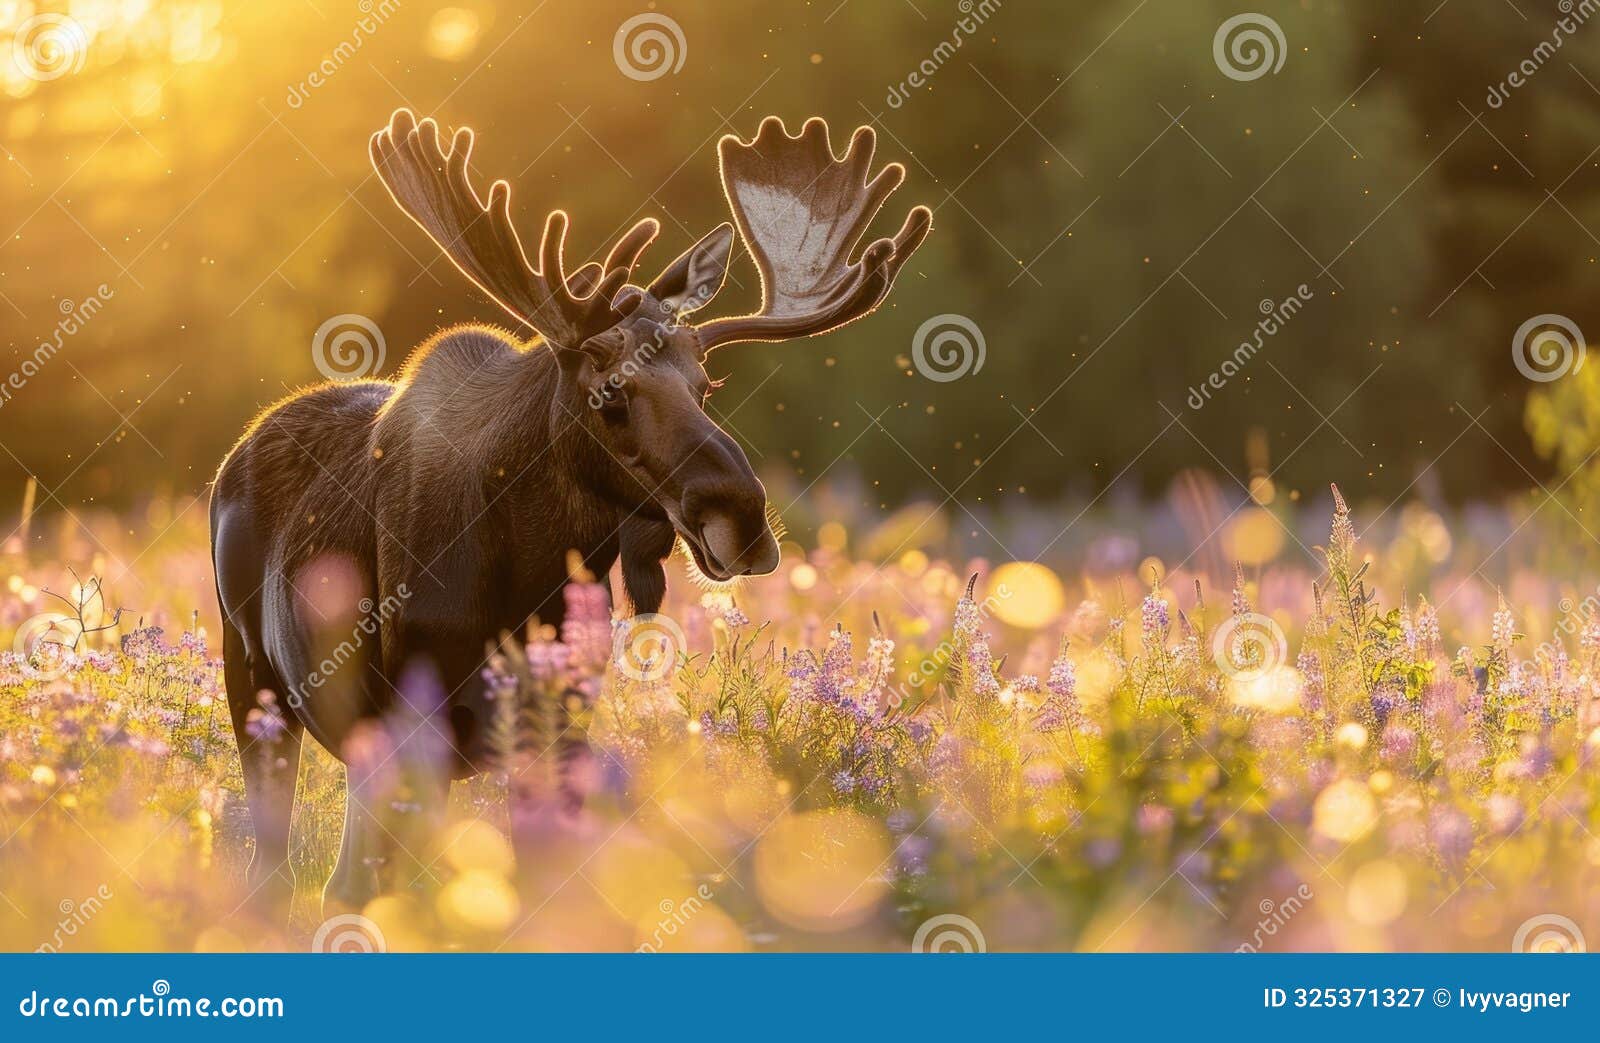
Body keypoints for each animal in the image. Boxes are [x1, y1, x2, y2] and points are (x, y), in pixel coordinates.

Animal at [209, 107, 931, 920]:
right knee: (286, 871)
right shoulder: (406, 723)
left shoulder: (561, 719)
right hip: (256, 682)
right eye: (609, 395)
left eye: (707, 385)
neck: (519, 580)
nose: (743, 519)